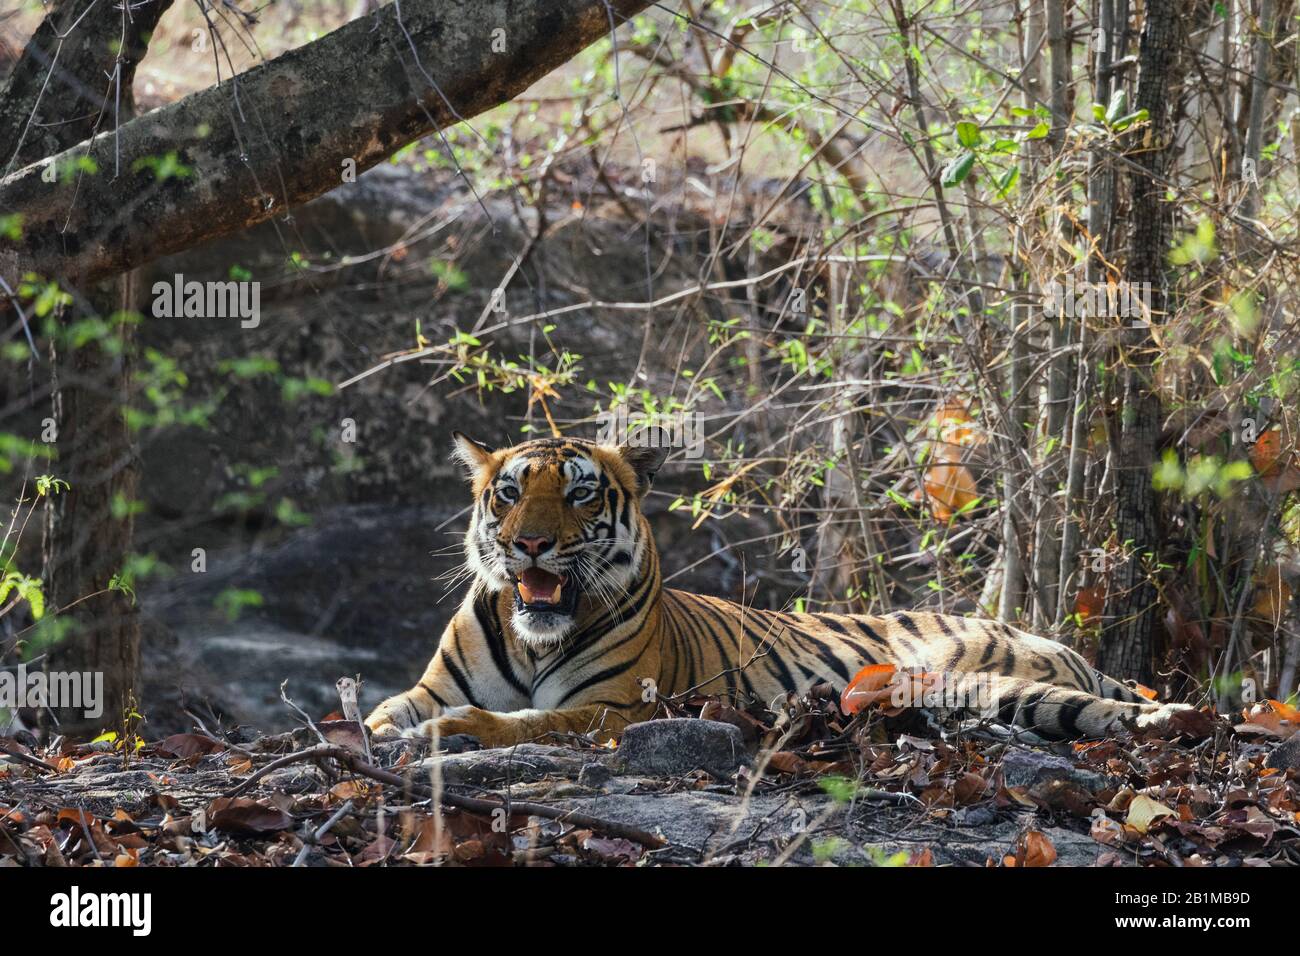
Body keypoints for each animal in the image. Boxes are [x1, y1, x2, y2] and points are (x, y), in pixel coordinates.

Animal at [364, 434, 1193, 747]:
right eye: (507, 495)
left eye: (578, 495)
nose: (529, 543)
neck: (534, 638)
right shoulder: (427, 687)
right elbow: (382, 713)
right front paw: (373, 734)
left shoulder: (611, 707)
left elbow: (525, 722)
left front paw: (454, 733)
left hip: (992, 674)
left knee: (1112, 710)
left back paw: (1182, 718)